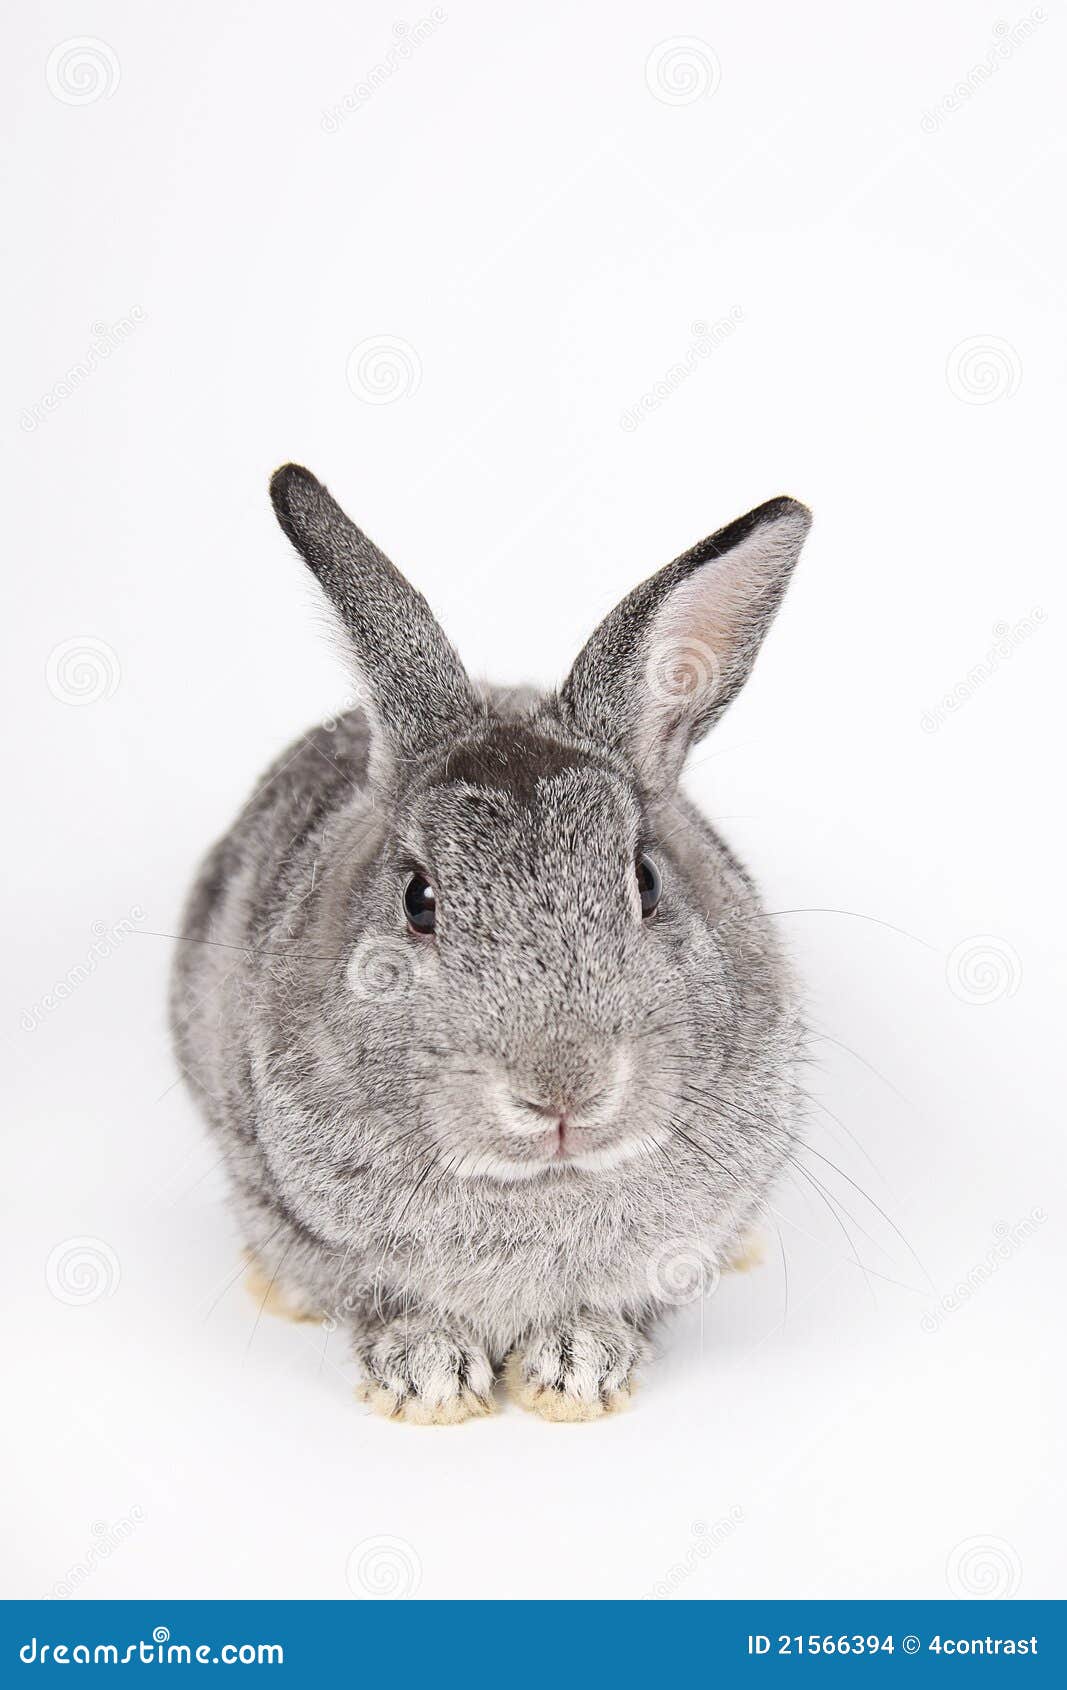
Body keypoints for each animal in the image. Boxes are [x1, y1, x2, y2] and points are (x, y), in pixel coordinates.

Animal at [171, 464, 812, 1424]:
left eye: (645, 881)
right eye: (419, 901)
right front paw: (429, 1377)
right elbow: (379, 1301)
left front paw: (579, 1366)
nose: (562, 1093)